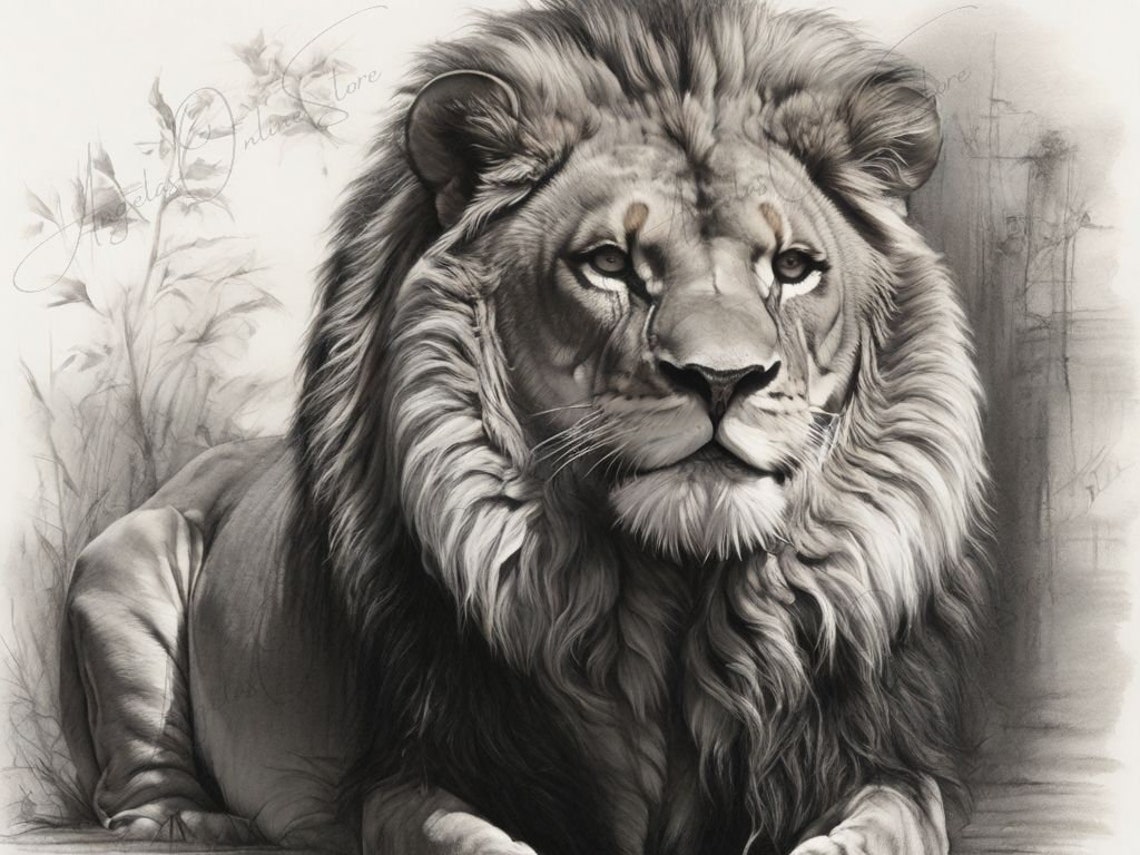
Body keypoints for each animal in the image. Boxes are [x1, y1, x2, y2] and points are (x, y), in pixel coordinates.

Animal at [58, 0, 990, 853]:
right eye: (610, 263)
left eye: (793, 268)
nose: (722, 379)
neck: (673, 597)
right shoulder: (410, 772)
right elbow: (474, 838)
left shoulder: (877, 761)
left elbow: (884, 826)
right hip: (125, 568)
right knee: (130, 786)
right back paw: (194, 822)